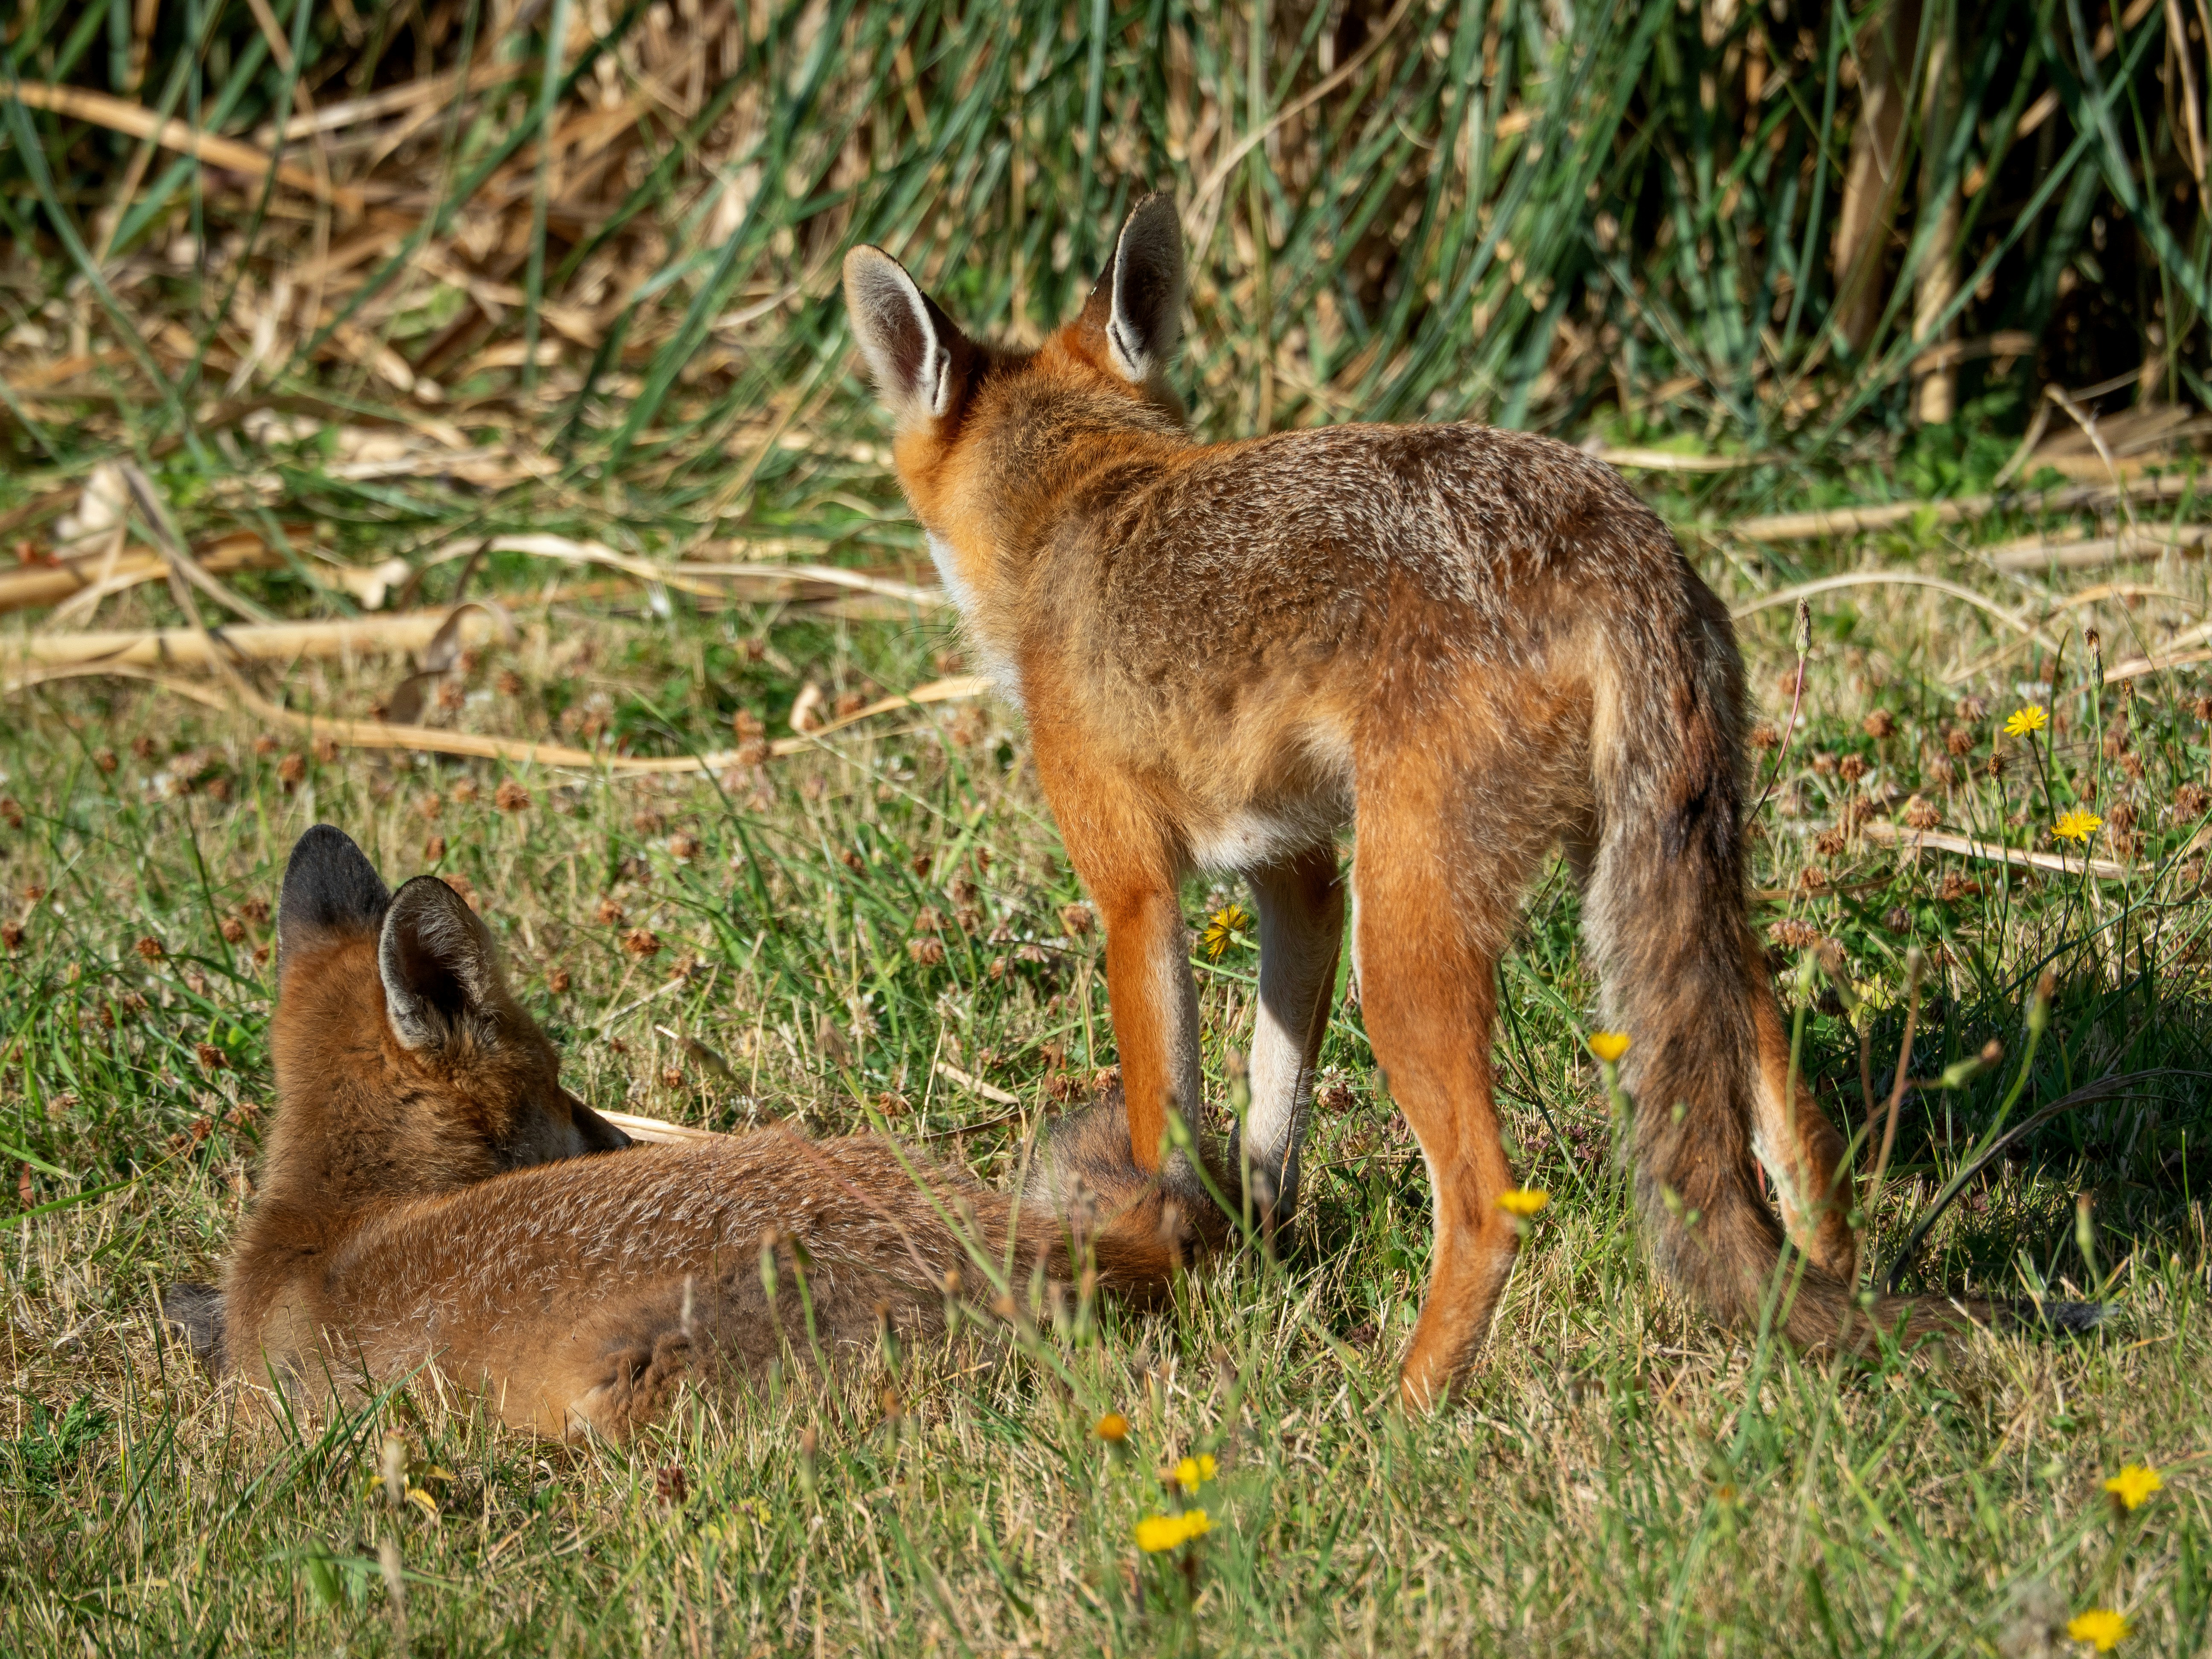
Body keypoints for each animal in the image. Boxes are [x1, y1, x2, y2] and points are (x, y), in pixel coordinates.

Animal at [841, 193, 2102, 1409]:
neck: (1082, 504)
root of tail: (1619, 538)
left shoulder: (1134, 889)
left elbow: (1168, 1109)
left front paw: (1164, 1264)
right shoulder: (1300, 871)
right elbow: (1273, 1098)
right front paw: (1253, 1236)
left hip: (1406, 950)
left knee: (1490, 1204)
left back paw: (1402, 1414)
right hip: (1657, 882)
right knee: (1793, 1124)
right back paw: (1820, 1318)